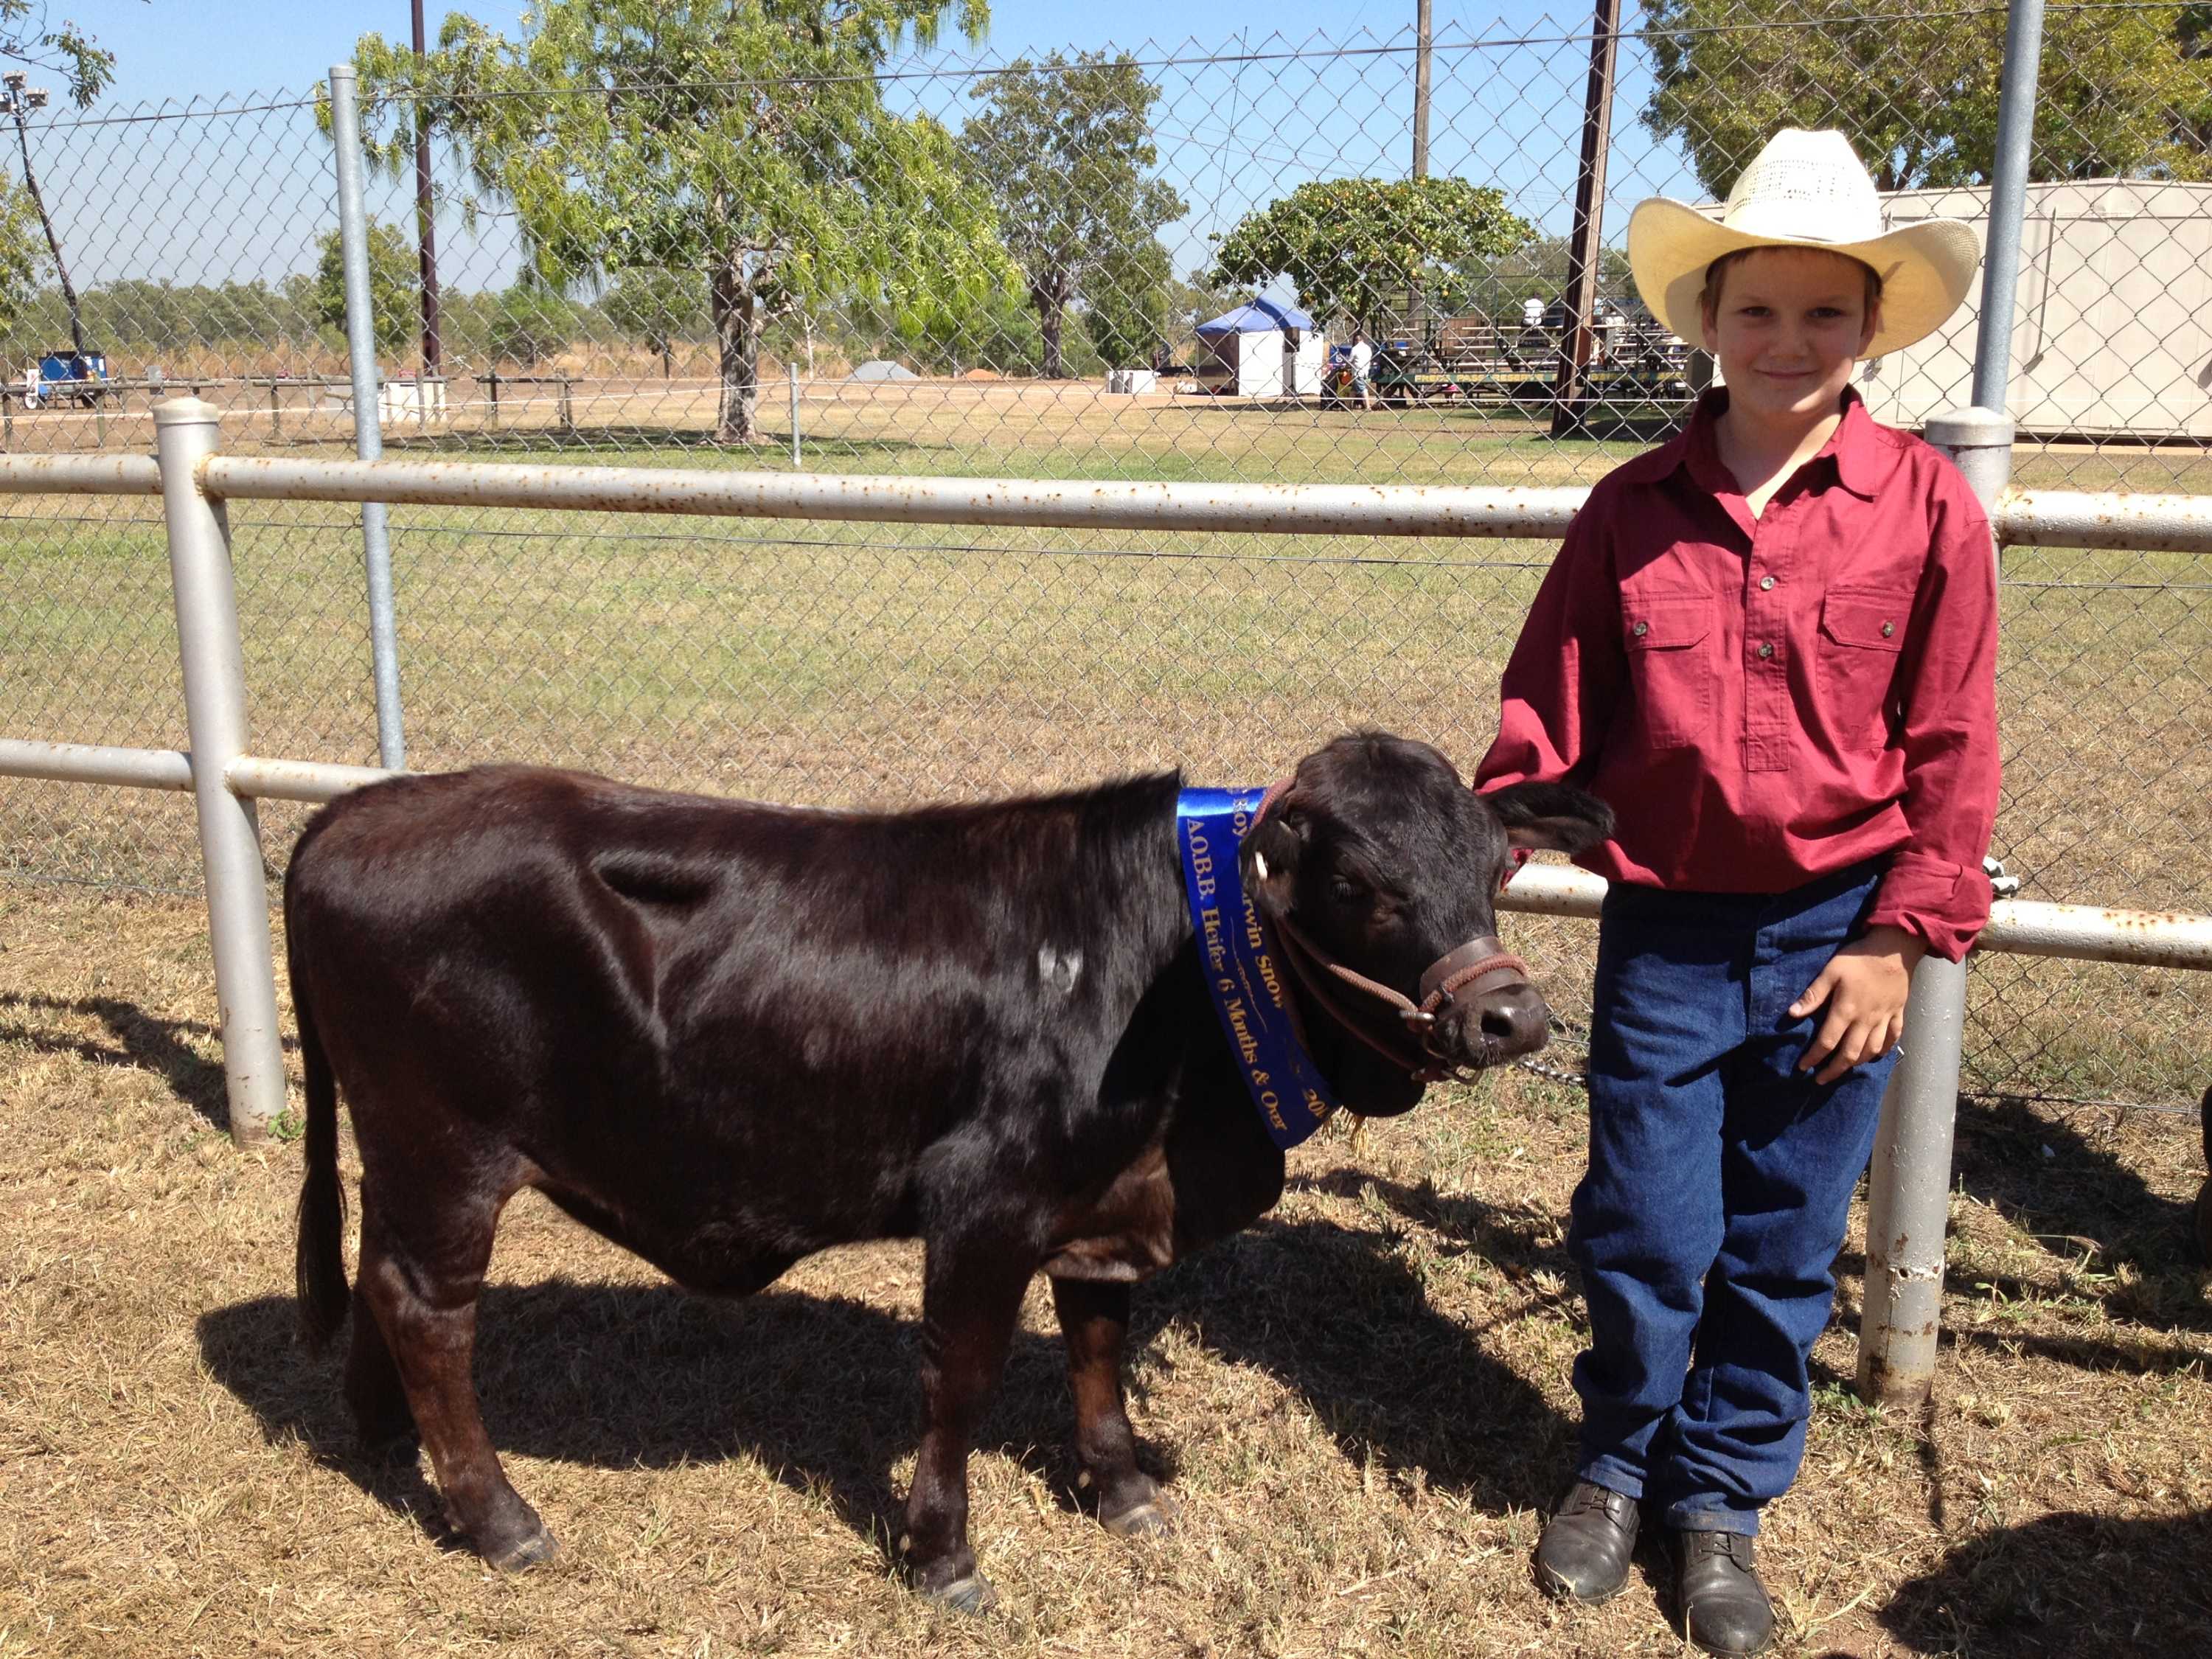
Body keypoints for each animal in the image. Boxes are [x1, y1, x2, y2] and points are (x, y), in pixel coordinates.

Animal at [287, 732, 1611, 1610]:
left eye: (1494, 868)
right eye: (1357, 883)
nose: (1511, 1019)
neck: (1167, 971)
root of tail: (359, 811)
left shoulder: (1107, 1199)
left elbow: (1096, 1346)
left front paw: (1122, 1487)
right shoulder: (986, 1203)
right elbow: (961, 1378)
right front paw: (943, 1554)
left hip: (402, 1156)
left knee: (378, 1275)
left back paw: (381, 1438)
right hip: (450, 1153)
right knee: (430, 1311)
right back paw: (500, 1518)